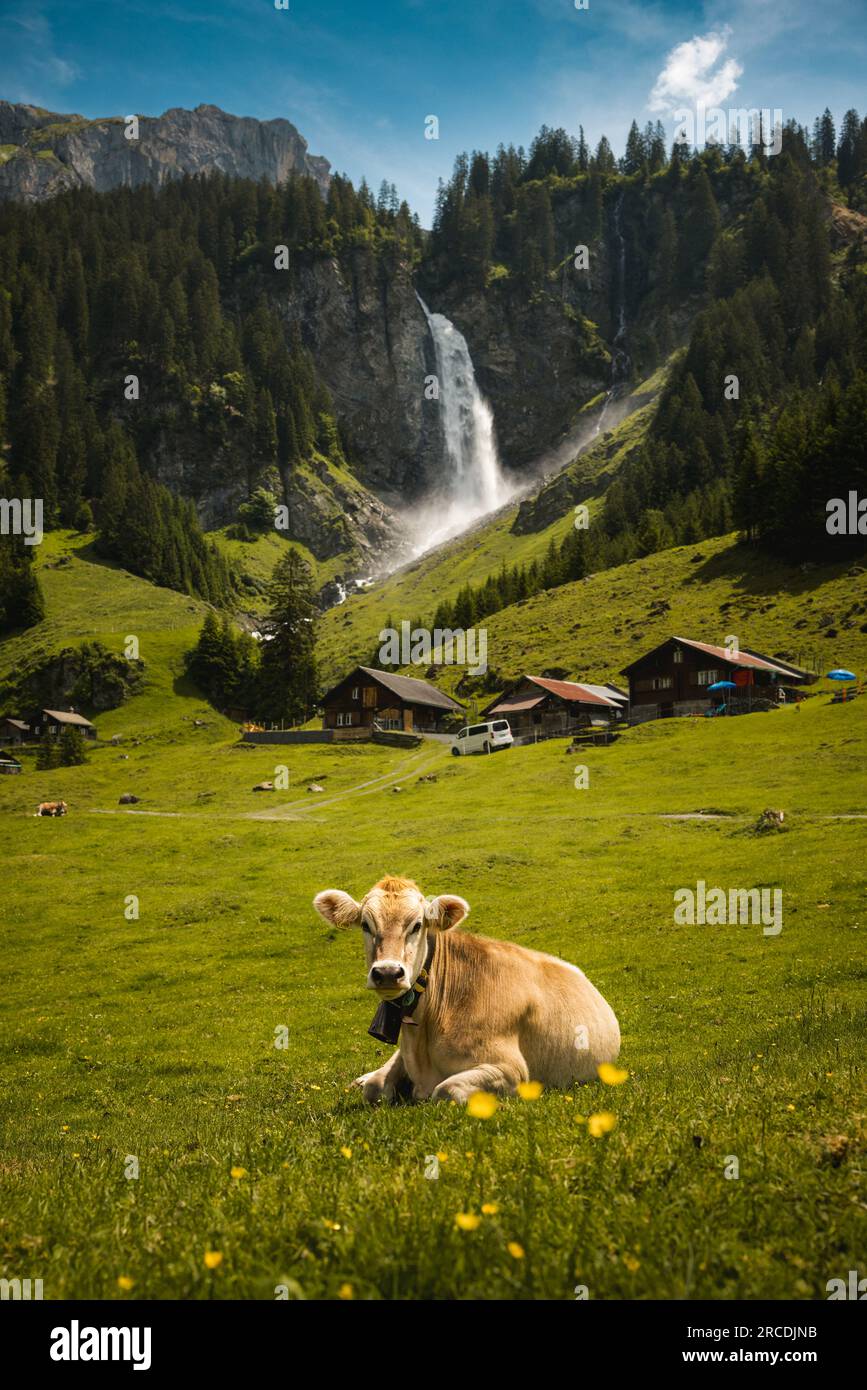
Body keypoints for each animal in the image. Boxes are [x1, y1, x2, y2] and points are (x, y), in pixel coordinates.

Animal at [313, 875, 620, 1104]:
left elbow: (445, 1091)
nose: (387, 972)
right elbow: (374, 1088)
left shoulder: (511, 1070)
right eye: (365, 925)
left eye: (417, 925)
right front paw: (368, 1081)